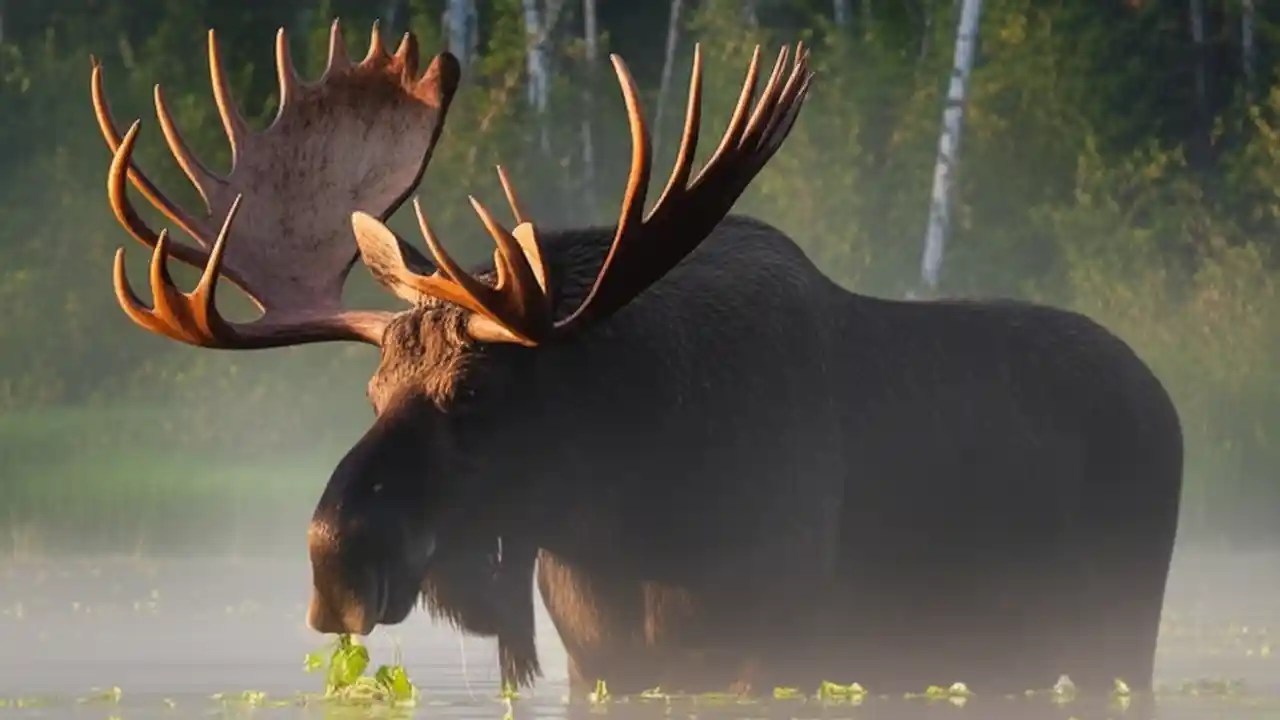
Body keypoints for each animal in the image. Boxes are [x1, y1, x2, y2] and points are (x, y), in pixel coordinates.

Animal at [90, 21, 1182, 698]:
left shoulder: (778, 651)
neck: (616, 516)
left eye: (476, 389)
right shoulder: (601, 668)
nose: (334, 559)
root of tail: (1163, 401)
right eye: (370, 390)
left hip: (1116, 633)